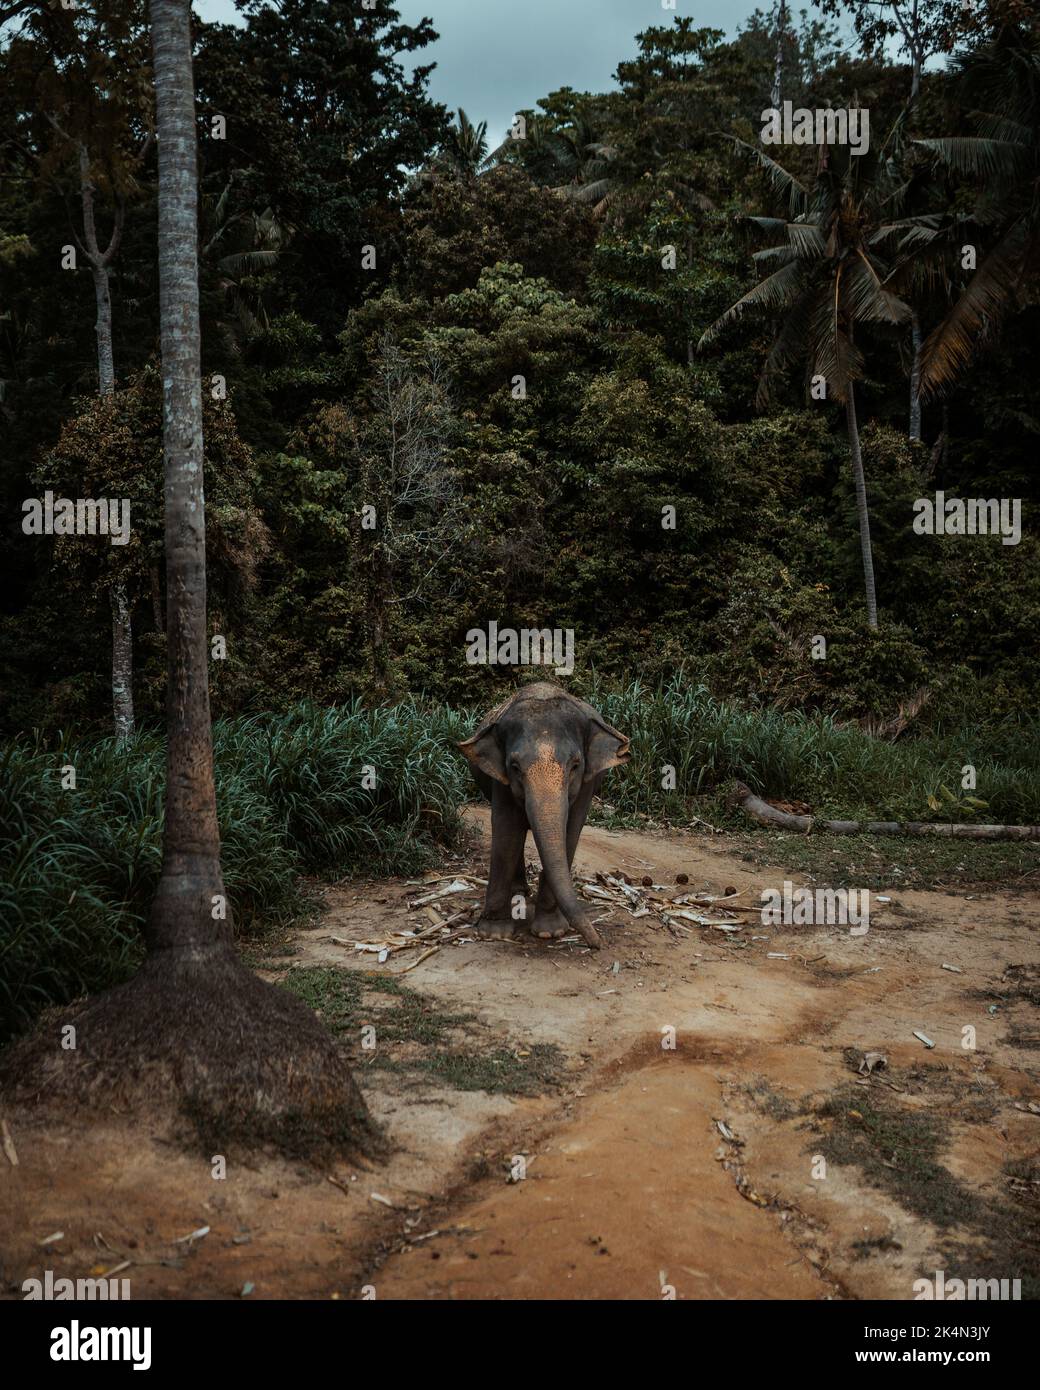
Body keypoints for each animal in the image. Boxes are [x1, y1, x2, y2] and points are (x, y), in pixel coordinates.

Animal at [458, 682, 630, 950]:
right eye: (515, 767)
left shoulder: (586, 785)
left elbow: (570, 832)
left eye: (575, 766)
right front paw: (494, 934)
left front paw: (551, 932)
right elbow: (507, 833)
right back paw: (519, 892)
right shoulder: (501, 782)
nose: (598, 943)